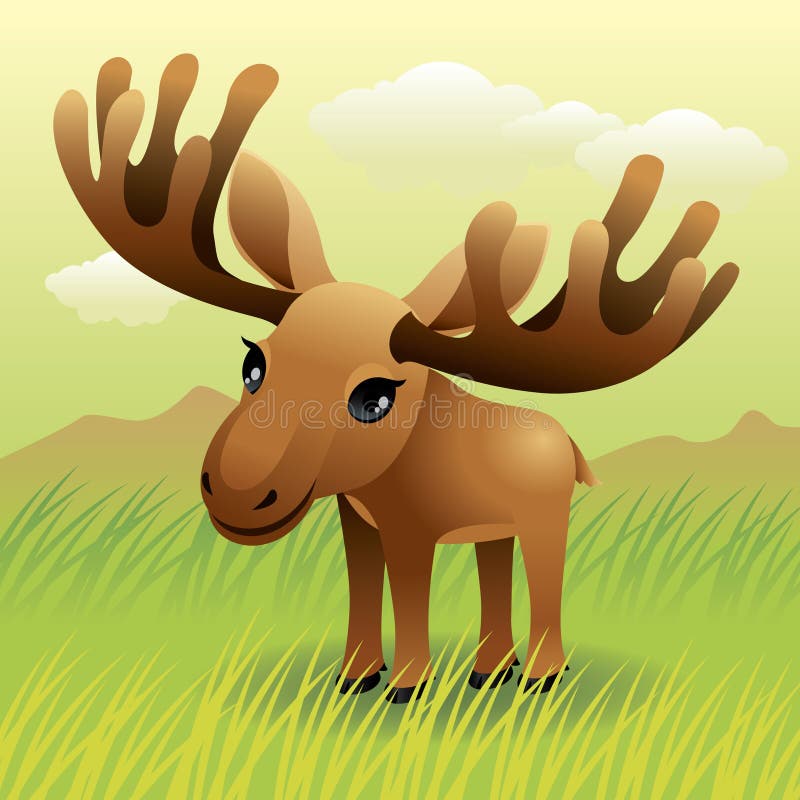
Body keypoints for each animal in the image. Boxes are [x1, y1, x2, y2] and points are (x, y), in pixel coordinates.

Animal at [54, 55, 739, 703]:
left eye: (375, 397)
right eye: (253, 363)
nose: (237, 493)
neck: (383, 477)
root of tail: (569, 444)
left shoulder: (414, 528)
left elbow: (410, 596)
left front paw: (408, 685)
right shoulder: (355, 517)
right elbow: (362, 586)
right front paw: (355, 674)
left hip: (547, 517)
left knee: (547, 583)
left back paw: (542, 675)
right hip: (495, 528)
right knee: (496, 576)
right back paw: (491, 670)